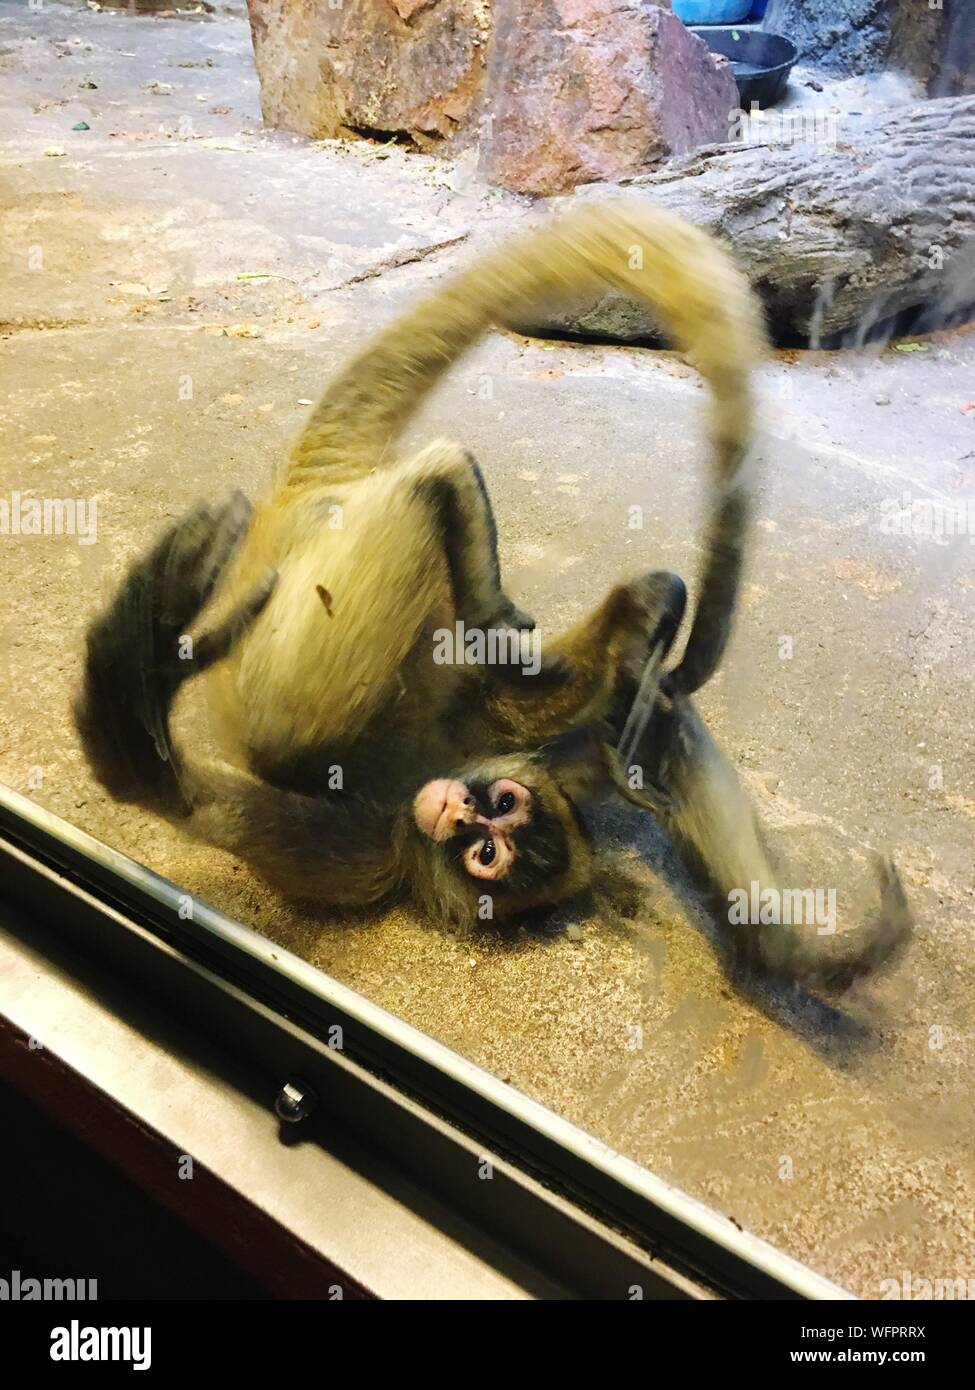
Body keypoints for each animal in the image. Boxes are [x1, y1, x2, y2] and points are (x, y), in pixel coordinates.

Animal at [74, 201, 911, 995]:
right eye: (492, 818)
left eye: (488, 846)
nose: (459, 808)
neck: (414, 802)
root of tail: (306, 496)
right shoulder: (360, 859)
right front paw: (639, 619)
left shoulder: (530, 776)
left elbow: (651, 727)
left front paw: (787, 946)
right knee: (302, 713)